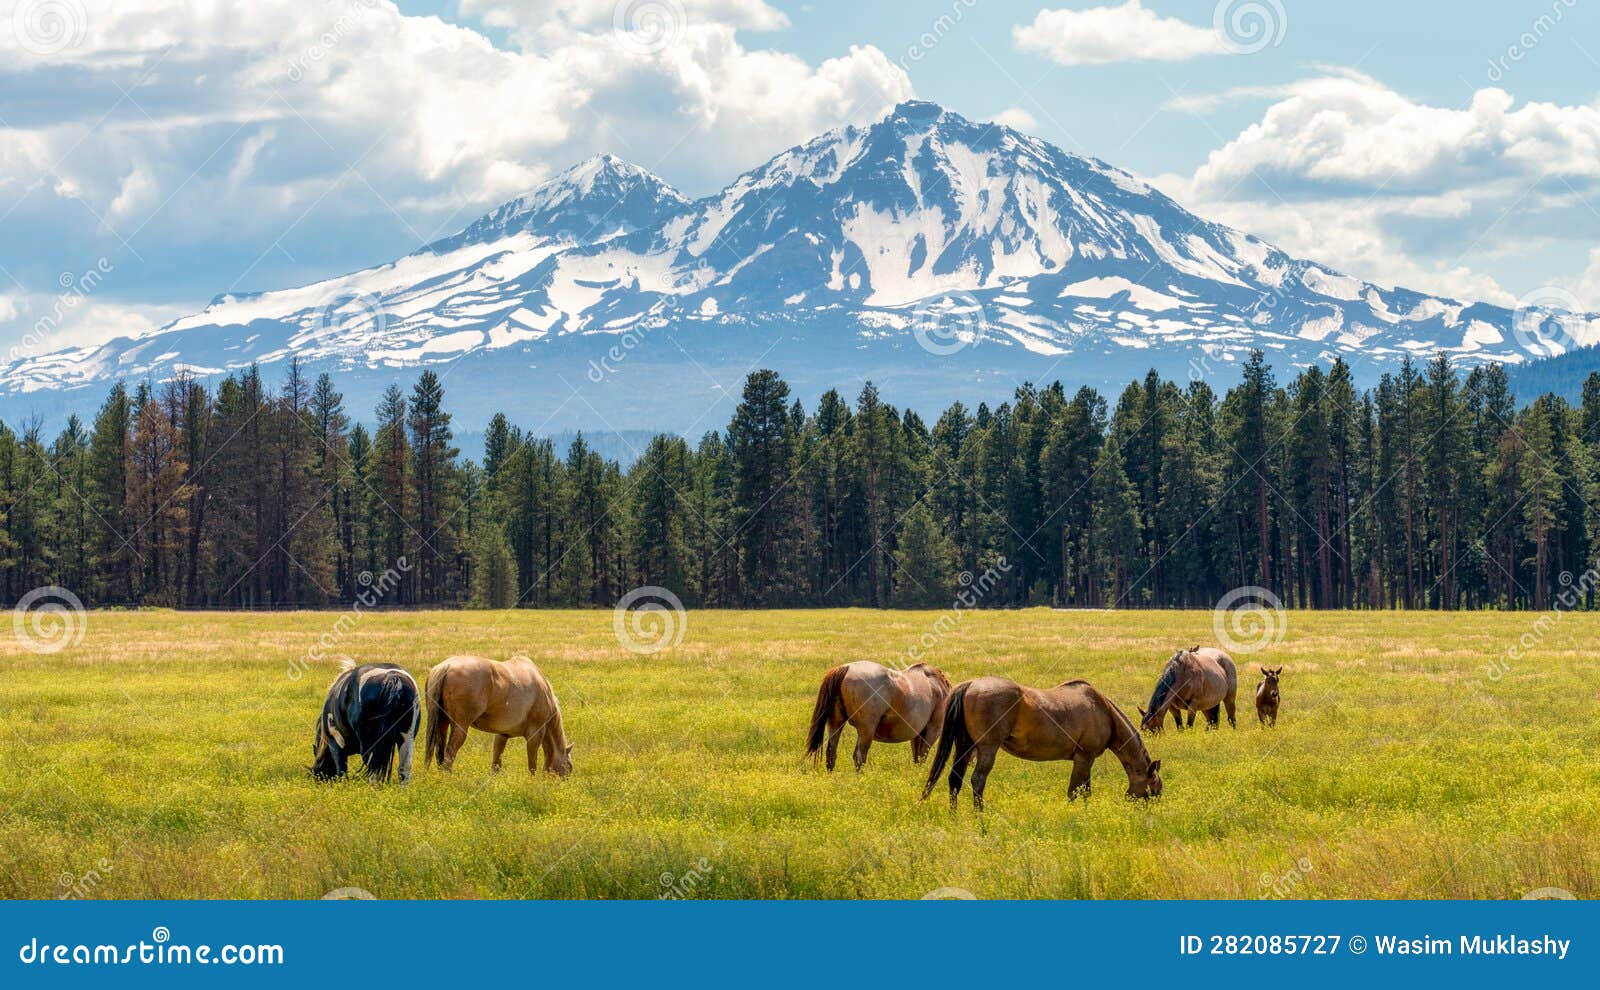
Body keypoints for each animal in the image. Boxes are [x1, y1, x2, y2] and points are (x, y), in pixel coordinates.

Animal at [425, 655, 573, 777]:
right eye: (569, 768)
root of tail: (446, 666)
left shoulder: (502, 735)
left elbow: (495, 765)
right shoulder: (534, 735)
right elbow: (532, 765)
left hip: (442, 723)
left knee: (439, 753)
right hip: (460, 727)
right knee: (449, 754)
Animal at [804, 661, 951, 771]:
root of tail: (847, 667)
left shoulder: (917, 734)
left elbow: (917, 757)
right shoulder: (932, 730)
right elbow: (921, 757)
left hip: (836, 724)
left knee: (831, 753)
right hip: (866, 730)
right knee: (859, 757)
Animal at [920, 676, 1161, 811]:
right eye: (1153, 789)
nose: (1148, 811)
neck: (1103, 710)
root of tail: (970, 685)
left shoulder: (1086, 760)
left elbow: (1085, 790)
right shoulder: (1084, 758)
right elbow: (1075, 790)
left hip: (965, 746)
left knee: (955, 779)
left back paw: (954, 815)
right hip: (987, 748)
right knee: (977, 780)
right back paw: (980, 815)